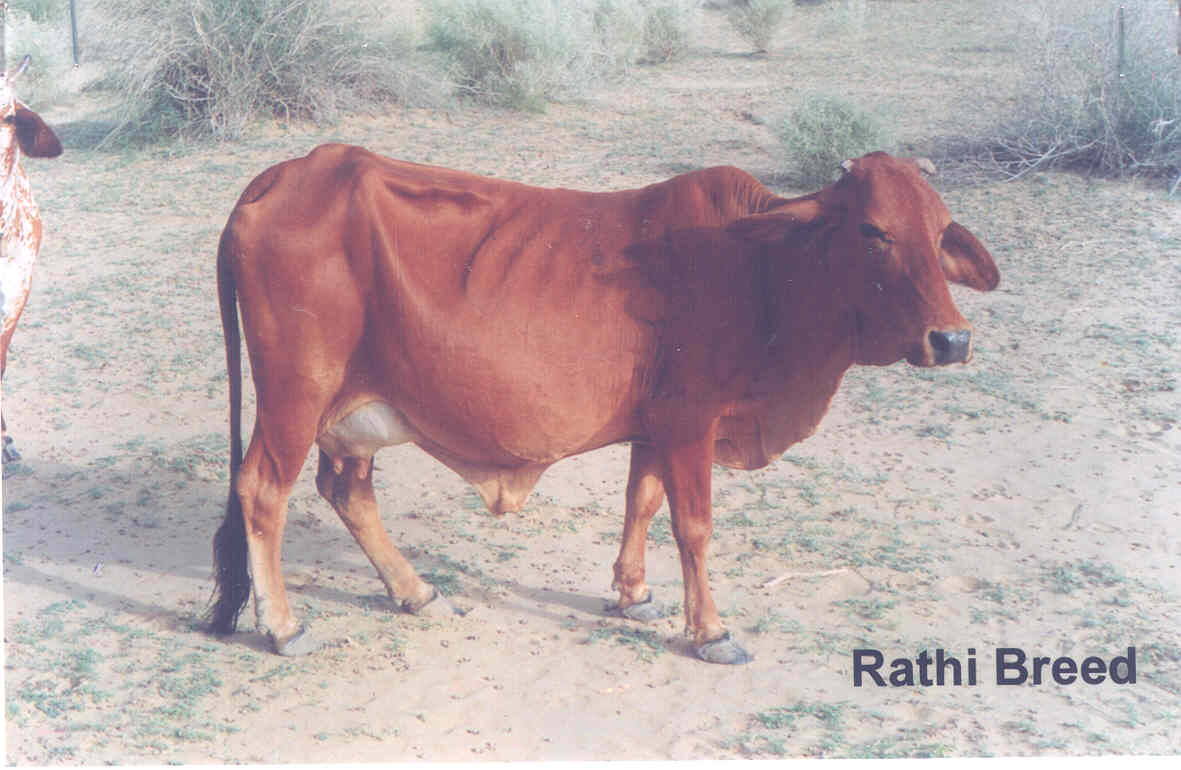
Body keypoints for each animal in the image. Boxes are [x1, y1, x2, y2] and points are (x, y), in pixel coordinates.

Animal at [210, 145, 999, 663]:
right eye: (873, 230)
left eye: (940, 230)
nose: (951, 338)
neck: (763, 265)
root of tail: (285, 173)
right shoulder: (691, 423)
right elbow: (694, 527)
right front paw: (711, 630)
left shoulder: (657, 426)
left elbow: (641, 502)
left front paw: (634, 593)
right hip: (295, 393)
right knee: (263, 489)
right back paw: (282, 625)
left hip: (350, 413)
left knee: (346, 491)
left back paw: (417, 592)